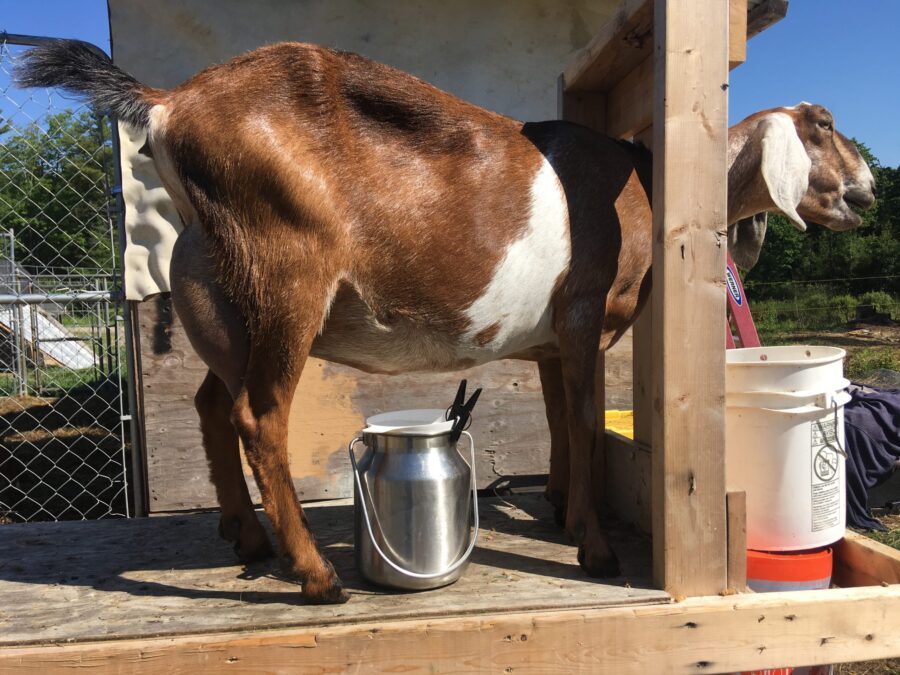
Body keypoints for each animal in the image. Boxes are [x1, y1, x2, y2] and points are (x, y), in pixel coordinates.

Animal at [17, 42, 875, 604]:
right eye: (822, 123)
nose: (868, 191)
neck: (644, 180)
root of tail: (168, 104)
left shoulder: (550, 340)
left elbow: (561, 423)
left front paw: (560, 512)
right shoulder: (584, 314)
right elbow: (588, 423)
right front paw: (595, 547)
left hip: (215, 292)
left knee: (208, 402)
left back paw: (249, 538)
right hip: (287, 275)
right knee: (258, 415)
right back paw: (315, 575)